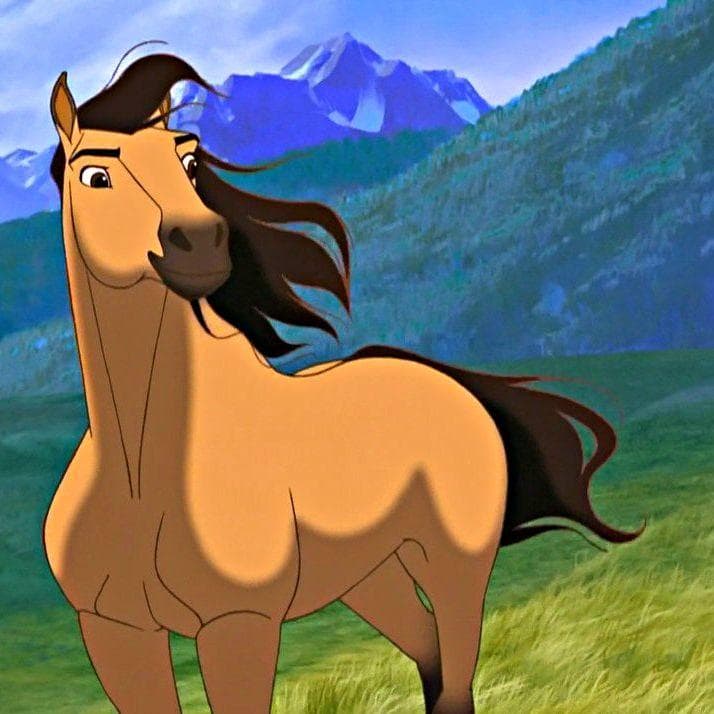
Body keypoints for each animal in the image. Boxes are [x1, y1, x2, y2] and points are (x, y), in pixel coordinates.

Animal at [43, 54, 641, 714]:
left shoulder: (239, 624)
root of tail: (452, 385)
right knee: (430, 656)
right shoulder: (114, 632)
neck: (140, 477)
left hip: (453, 565)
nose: (199, 244)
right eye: (95, 175)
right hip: (368, 576)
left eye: (191, 161)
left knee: (456, 668)